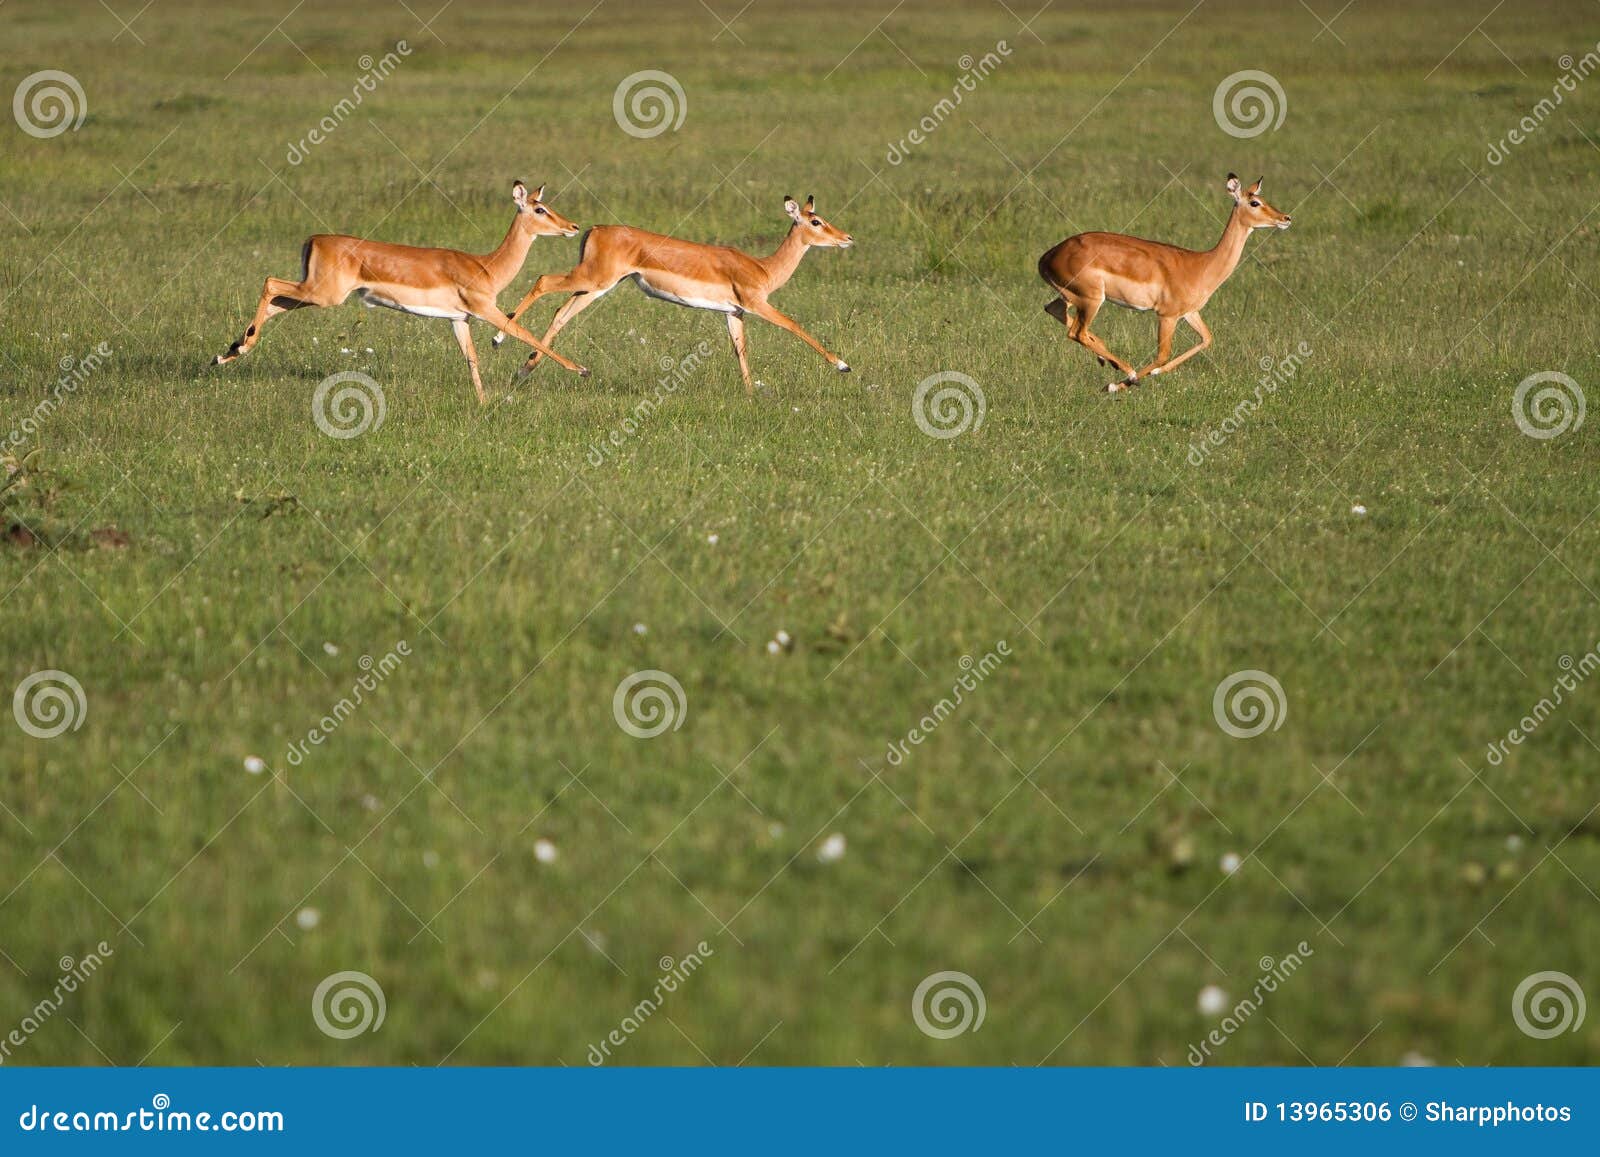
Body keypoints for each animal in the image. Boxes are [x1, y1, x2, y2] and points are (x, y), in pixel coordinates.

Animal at [212, 181, 590, 404]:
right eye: (540, 208)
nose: (572, 227)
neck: (486, 266)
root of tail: (314, 238)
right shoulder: (486, 310)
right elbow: (523, 333)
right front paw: (580, 369)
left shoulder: (459, 319)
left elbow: (471, 358)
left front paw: (483, 402)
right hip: (323, 294)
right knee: (270, 282)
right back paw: (236, 349)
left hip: (313, 294)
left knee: (275, 299)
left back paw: (229, 352)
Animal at [492, 194, 854, 392]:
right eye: (816, 221)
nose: (848, 237)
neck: (763, 268)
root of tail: (595, 229)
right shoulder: (756, 304)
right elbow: (795, 325)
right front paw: (842, 365)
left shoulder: (733, 312)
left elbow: (740, 350)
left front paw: (751, 393)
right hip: (592, 279)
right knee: (543, 281)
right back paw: (499, 341)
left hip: (597, 286)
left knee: (561, 313)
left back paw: (527, 369)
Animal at [1038, 174, 1291, 393]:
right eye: (1255, 202)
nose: (1286, 218)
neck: (1202, 265)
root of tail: (1048, 256)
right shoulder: (1166, 316)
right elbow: (1163, 354)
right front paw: (1118, 385)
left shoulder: (1190, 313)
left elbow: (1207, 339)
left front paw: (1153, 374)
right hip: (1091, 300)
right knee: (1076, 332)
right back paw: (1127, 372)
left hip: (1072, 298)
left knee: (1055, 311)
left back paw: (1108, 361)